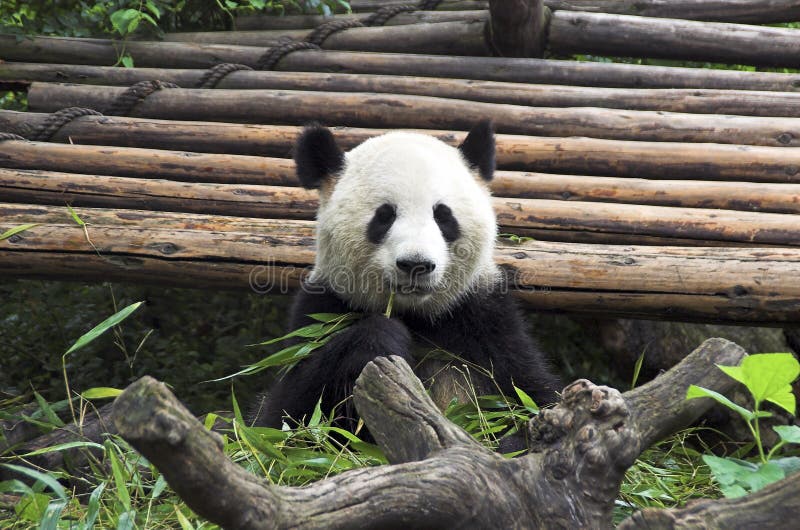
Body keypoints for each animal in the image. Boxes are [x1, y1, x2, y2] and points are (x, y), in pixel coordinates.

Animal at [252, 120, 562, 431]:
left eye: (443, 215)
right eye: (384, 215)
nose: (415, 264)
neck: (415, 315)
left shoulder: (485, 323)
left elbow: (531, 398)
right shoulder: (324, 309)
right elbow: (286, 415)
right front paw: (383, 339)